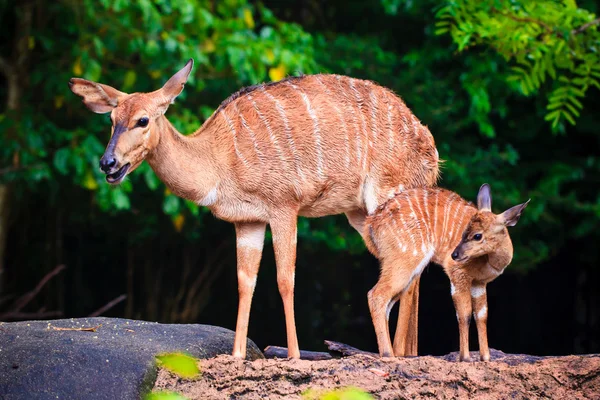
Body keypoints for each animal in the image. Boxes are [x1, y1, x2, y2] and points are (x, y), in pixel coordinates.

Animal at [69, 59, 440, 360]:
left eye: (143, 119)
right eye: (112, 118)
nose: (108, 164)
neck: (218, 163)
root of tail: (432, 153)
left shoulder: (284, 205)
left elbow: (285, 279)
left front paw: (293, 355)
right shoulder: (248, 220)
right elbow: (245, 281)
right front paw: (236, 355)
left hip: (389, 193)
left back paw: (398, 353)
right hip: (360, 213)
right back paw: (405, 351)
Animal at [364, 184, 528, 362]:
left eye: (477, 235)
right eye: (464, 233)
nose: (454, 255)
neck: (490, 263)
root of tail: (370, 225)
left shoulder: (479, 283)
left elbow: (482, 315)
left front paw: (485, 358)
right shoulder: (457, 273)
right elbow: (464, 314)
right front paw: (465, 358)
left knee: (386, 302)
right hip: (404, 261)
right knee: (376, 294)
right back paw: (388, 354)